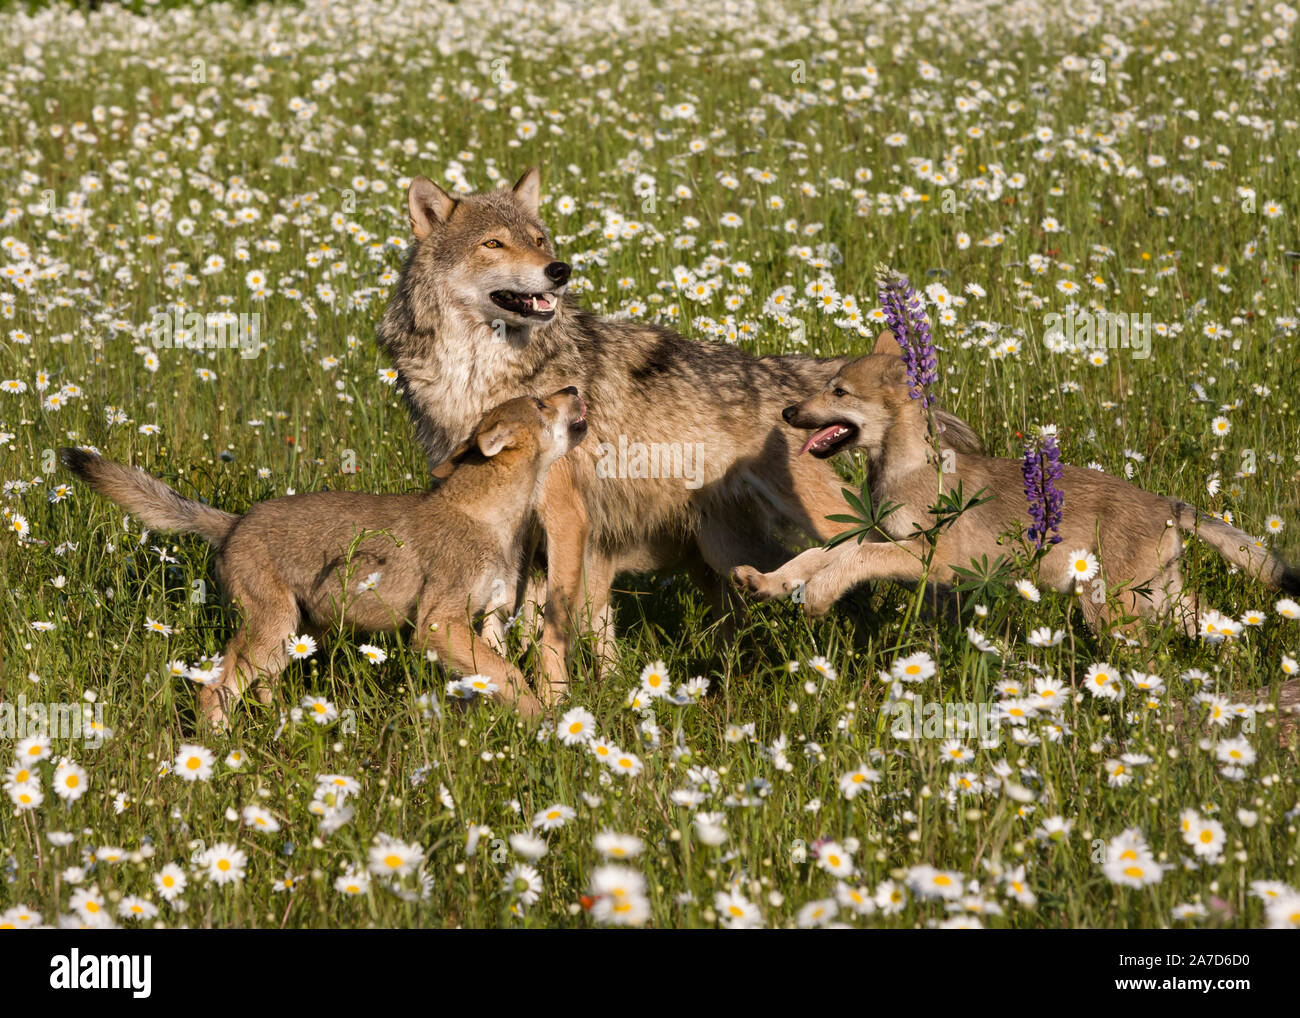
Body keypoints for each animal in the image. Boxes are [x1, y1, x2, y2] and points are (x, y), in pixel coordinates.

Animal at [62, 389, 589, 725]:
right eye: (541, 402)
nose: (572, 386)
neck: (487, 516)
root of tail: (233, 523)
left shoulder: (489, 620)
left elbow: (498, 674)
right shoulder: (438, 624)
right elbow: (513, 677)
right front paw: (544, 721)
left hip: (288, 638)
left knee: (258, 688)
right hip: (269, 633)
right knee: (215, 689)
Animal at [376, 167, 984, 700]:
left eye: (539, 239)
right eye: (494, 244)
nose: (559, 270)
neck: (482, 376)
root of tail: (792, 380)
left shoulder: (567, 517)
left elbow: (551, 625)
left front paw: (553, 700)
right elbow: (508, 620)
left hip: (825, 526)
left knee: (878, 561)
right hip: (724, 552)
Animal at [732, 333, 1300, 632]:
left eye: (838, 391)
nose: (787, 412)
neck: (904, 470)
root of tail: (1169, 504)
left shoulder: (929, 557)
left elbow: (849, 562)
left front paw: (817, 596)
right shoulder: (878, 536)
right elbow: (819, 555)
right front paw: (767, 582)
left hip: (1111, 609)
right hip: (1158, 599)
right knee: (1216, 624)